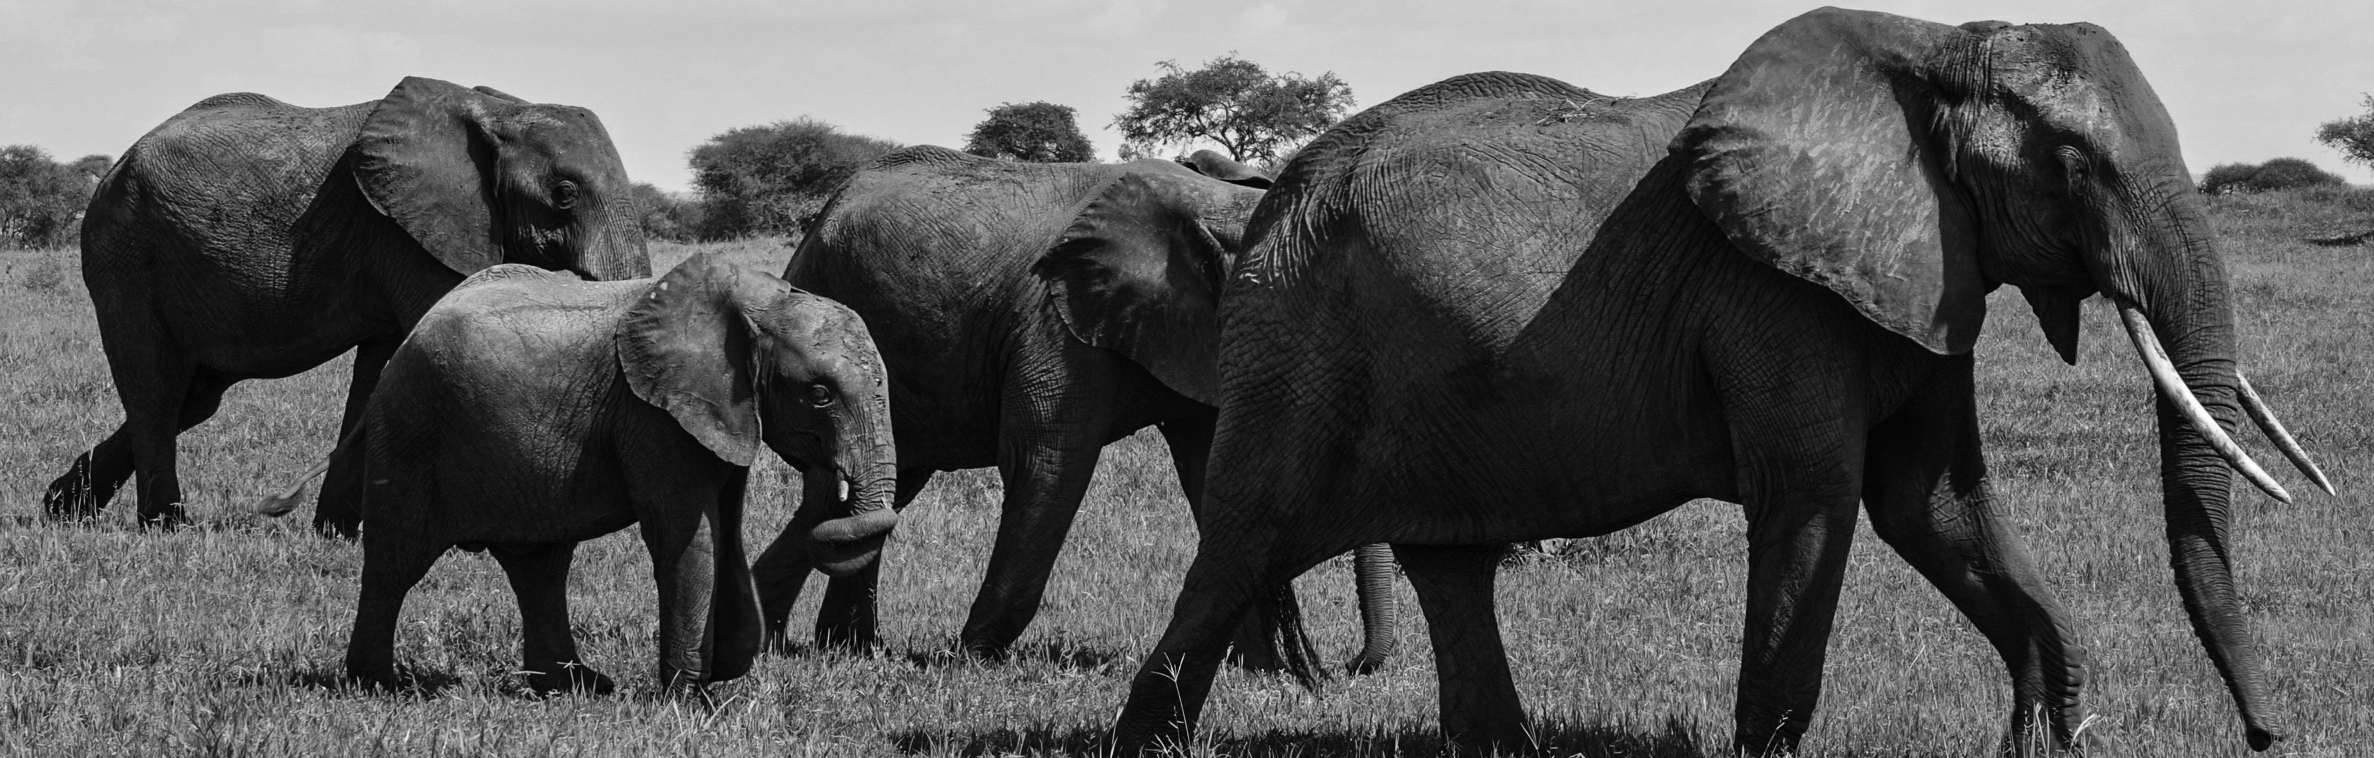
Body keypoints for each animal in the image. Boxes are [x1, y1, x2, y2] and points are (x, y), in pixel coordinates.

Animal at [46, 76, 651, 533]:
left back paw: (62, 508)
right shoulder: (407, 234)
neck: (502, 110)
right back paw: (164, 526)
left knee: (194, 397)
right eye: (565, 195)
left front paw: (336, 534)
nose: (277, 504)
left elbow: (380, 370)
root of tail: (113, 167)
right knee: (157, 388)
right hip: (125, 255)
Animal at [258, 252, 898, 694]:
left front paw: (716, 682)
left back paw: (576, 686)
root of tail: (409, 337)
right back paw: (378, 685)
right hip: (411, 428)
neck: (758, 301)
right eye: (819, 394)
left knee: (539, 566)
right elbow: (685, 538)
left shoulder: (721, 414)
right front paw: (691, 700)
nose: (834, 480)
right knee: (396, 561)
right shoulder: (653, 416)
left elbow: (725, 530)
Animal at [760, 144, 1398, 675]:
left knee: (872, 494)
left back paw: (842, 650)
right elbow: (1046, 463)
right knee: (855, 491)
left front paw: (1258, 673)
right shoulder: (1056, 324)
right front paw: (970, 662)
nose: (1337, 669)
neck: (1216, 206)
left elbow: (1212, 474)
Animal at [1113, 8, 2332, 756]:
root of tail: (1271, 194)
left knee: (1448, 564)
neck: (1936, 45)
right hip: (1295, 344)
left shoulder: (1925, 274)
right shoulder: (1770, 295)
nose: (2268, 733)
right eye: (2075, 168)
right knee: (1243, 543)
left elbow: (1933, 506)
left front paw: (2045, 735)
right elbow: (1816, 505)